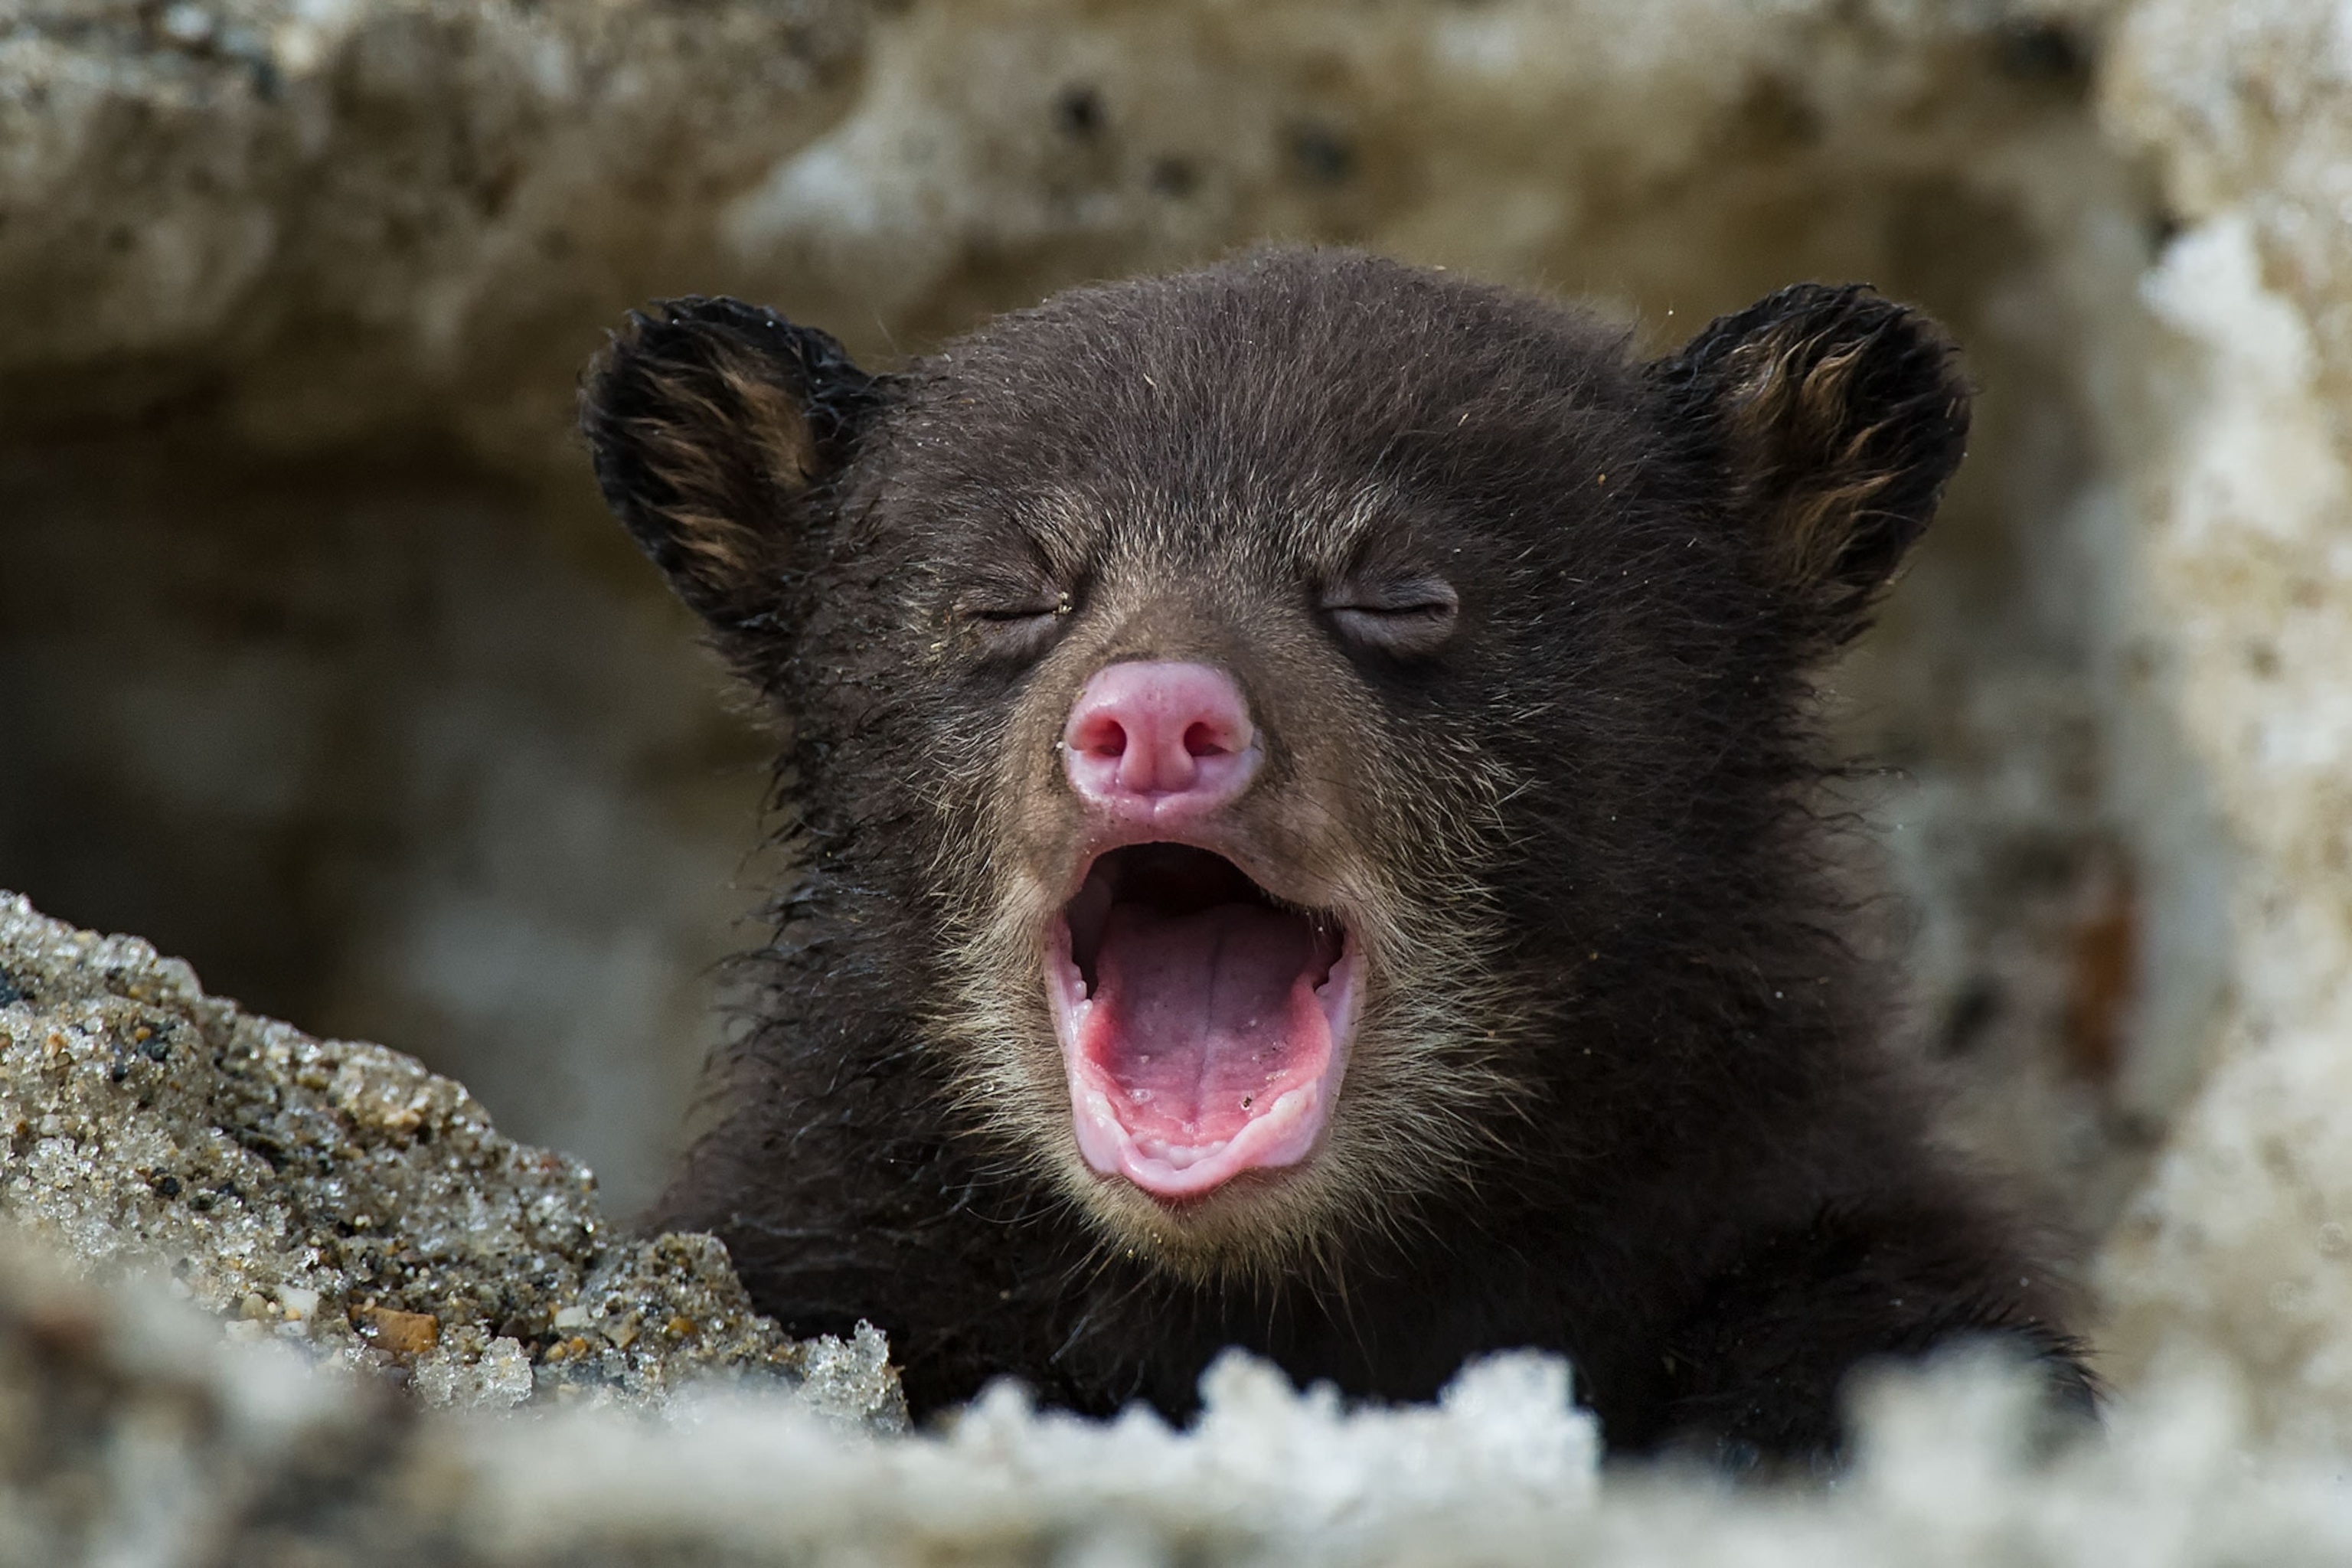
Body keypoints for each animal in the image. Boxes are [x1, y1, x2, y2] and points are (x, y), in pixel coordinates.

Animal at [579, 246, 2093, 1467]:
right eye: (1007, 597)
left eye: (1400, 592)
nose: (1155, 720)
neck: (1287, 1295)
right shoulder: (841, 1244)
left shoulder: (1774, 1205)